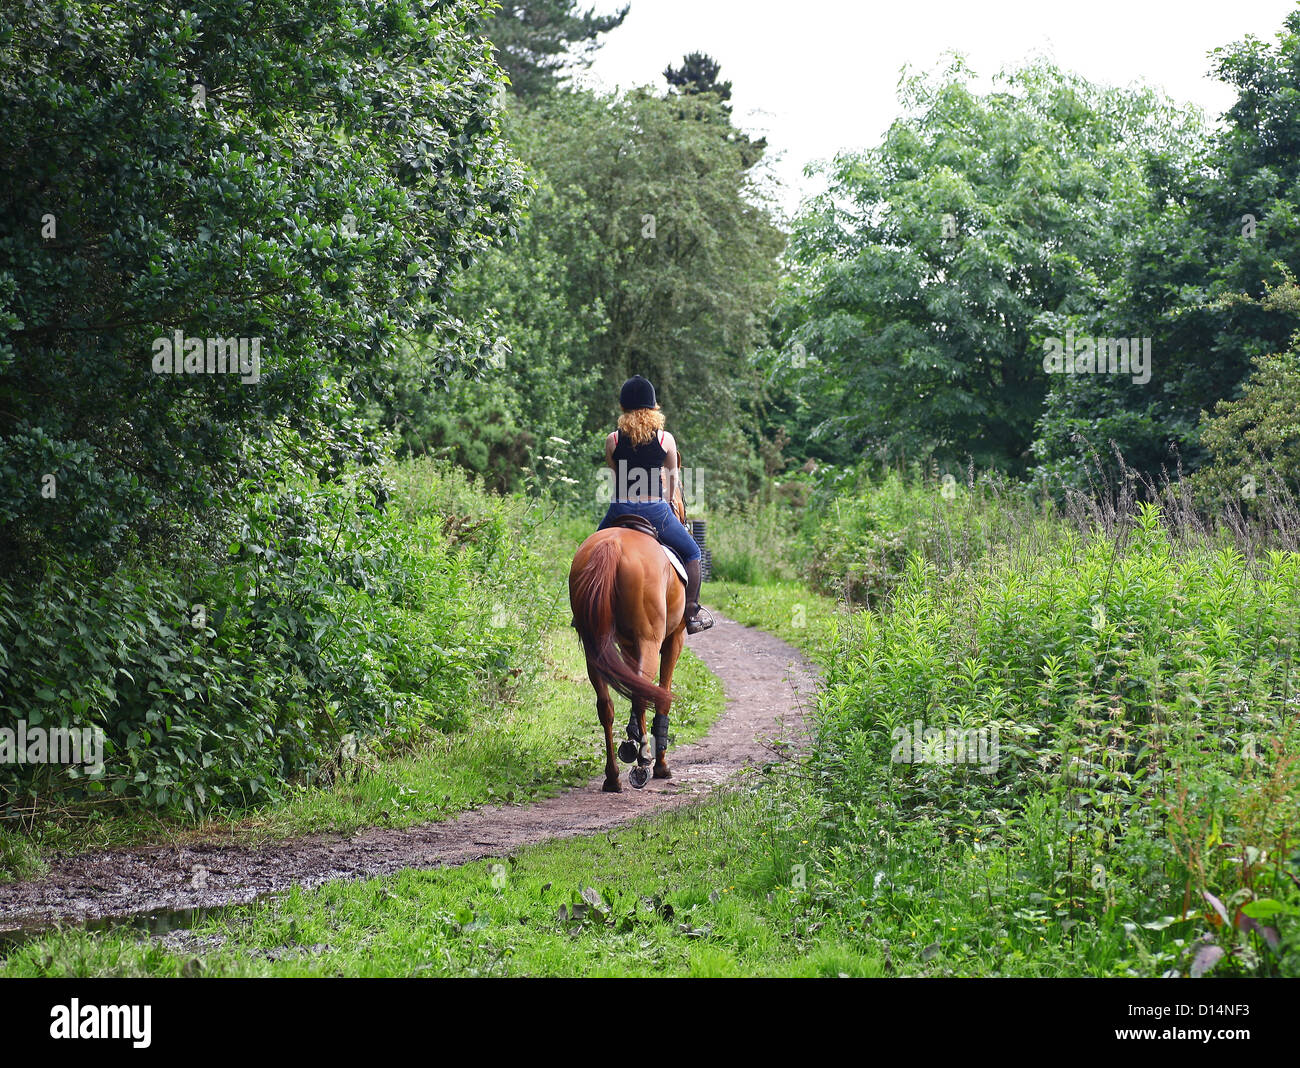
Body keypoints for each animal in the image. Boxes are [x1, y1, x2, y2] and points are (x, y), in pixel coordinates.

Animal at [568, 480, 689, 792]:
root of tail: (613, 544)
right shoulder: (674, 640)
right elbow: (662, 695)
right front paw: (660, 765)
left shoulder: (626, 645)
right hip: (650, 640)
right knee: (641, 694)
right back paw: (643, 762)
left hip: (595, 646)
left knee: (606, 706)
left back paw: (613, 776)